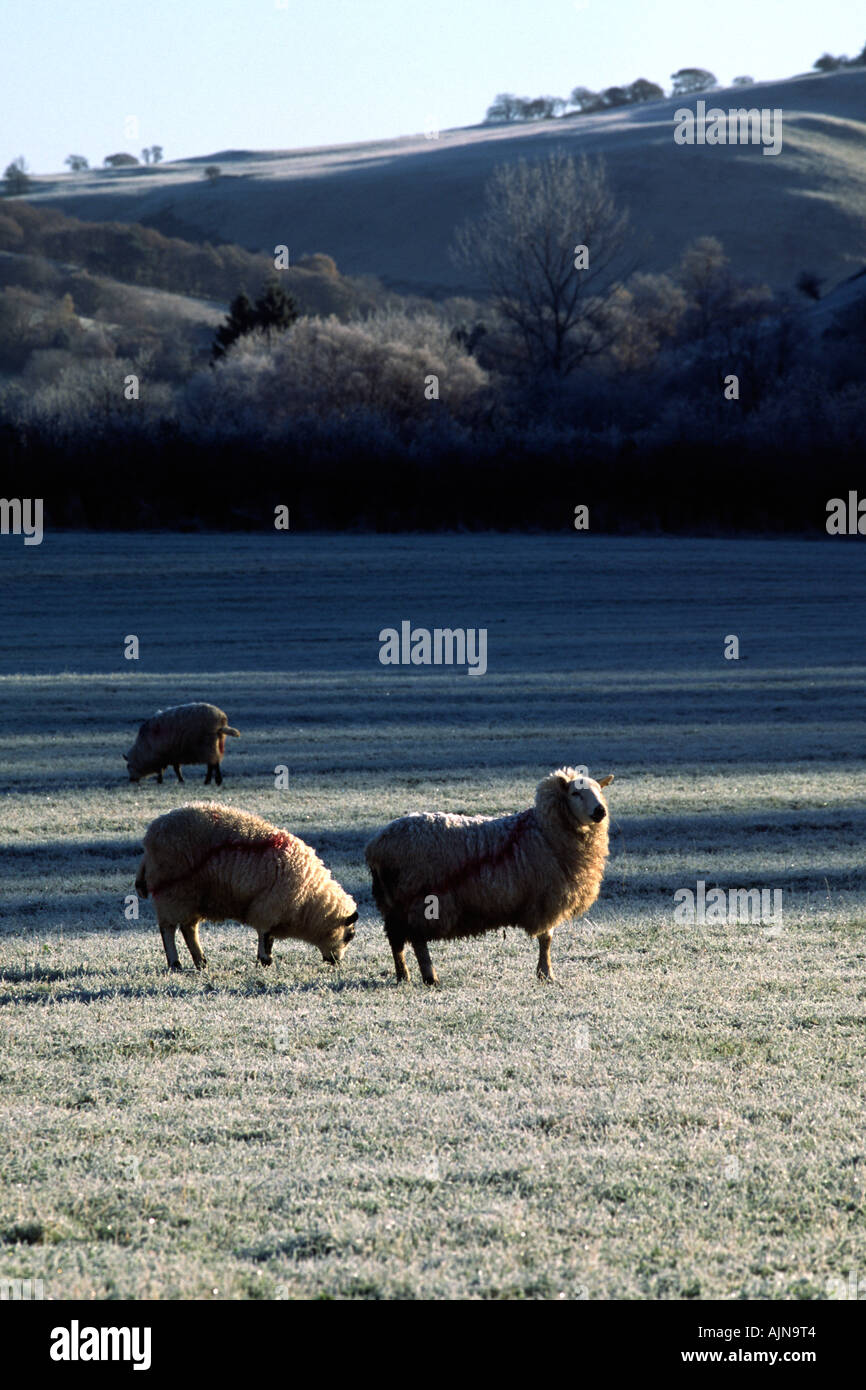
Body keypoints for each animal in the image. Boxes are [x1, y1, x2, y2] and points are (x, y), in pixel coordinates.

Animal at [135, 803, 358, 971]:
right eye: (349, 935)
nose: (336, 962)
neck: (309, 899)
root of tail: (149, 836)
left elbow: (268, 937)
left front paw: (265, 960)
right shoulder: (268, 907)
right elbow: (265, 936)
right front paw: (265, 961)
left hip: (191, 898)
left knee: (188, 929)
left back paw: (201, 962)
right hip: (171, 893)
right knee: (168, 929)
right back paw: (175, 963)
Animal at [365, 768, 613, 986]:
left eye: (599, 791)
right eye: (575, 793)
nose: (600, 811)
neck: (545, 831)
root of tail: (376, 845)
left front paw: (544, 973)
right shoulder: (546, 897)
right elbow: (546, 939)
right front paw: (546, 974)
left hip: (395, 905)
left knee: (398, 941)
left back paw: (404, 975)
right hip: (418, 901)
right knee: (416, 941)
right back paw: (429, 977)